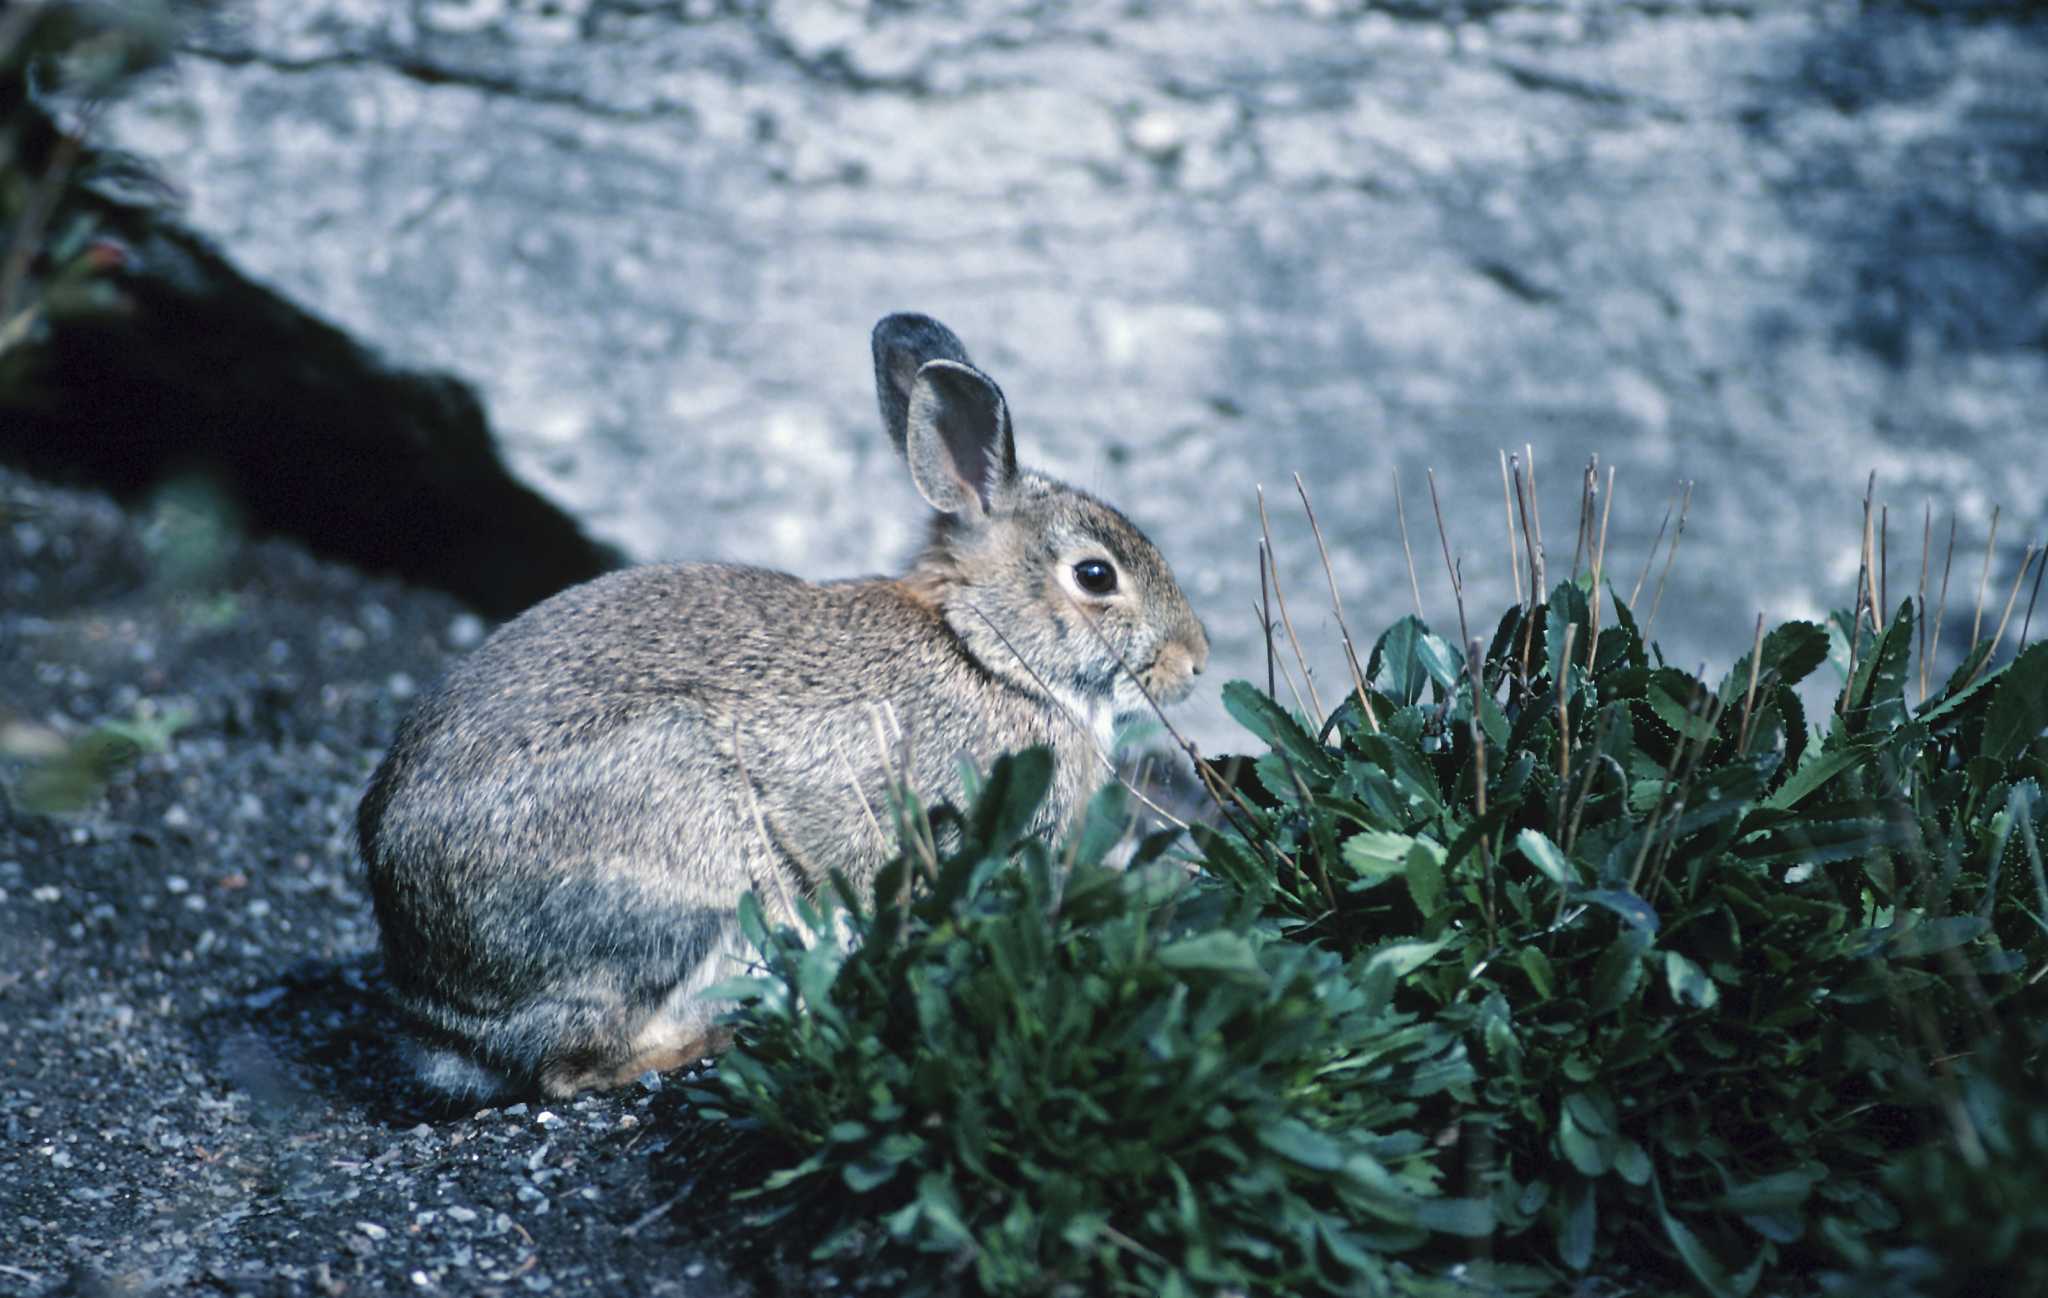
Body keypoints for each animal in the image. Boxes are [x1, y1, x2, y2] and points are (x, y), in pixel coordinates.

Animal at [357, 313, 1210, 1100]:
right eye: (1096, 576)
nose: (1195, 662)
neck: (984, 649)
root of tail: (442, 1012)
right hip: (685, 877)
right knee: (572, 1065)